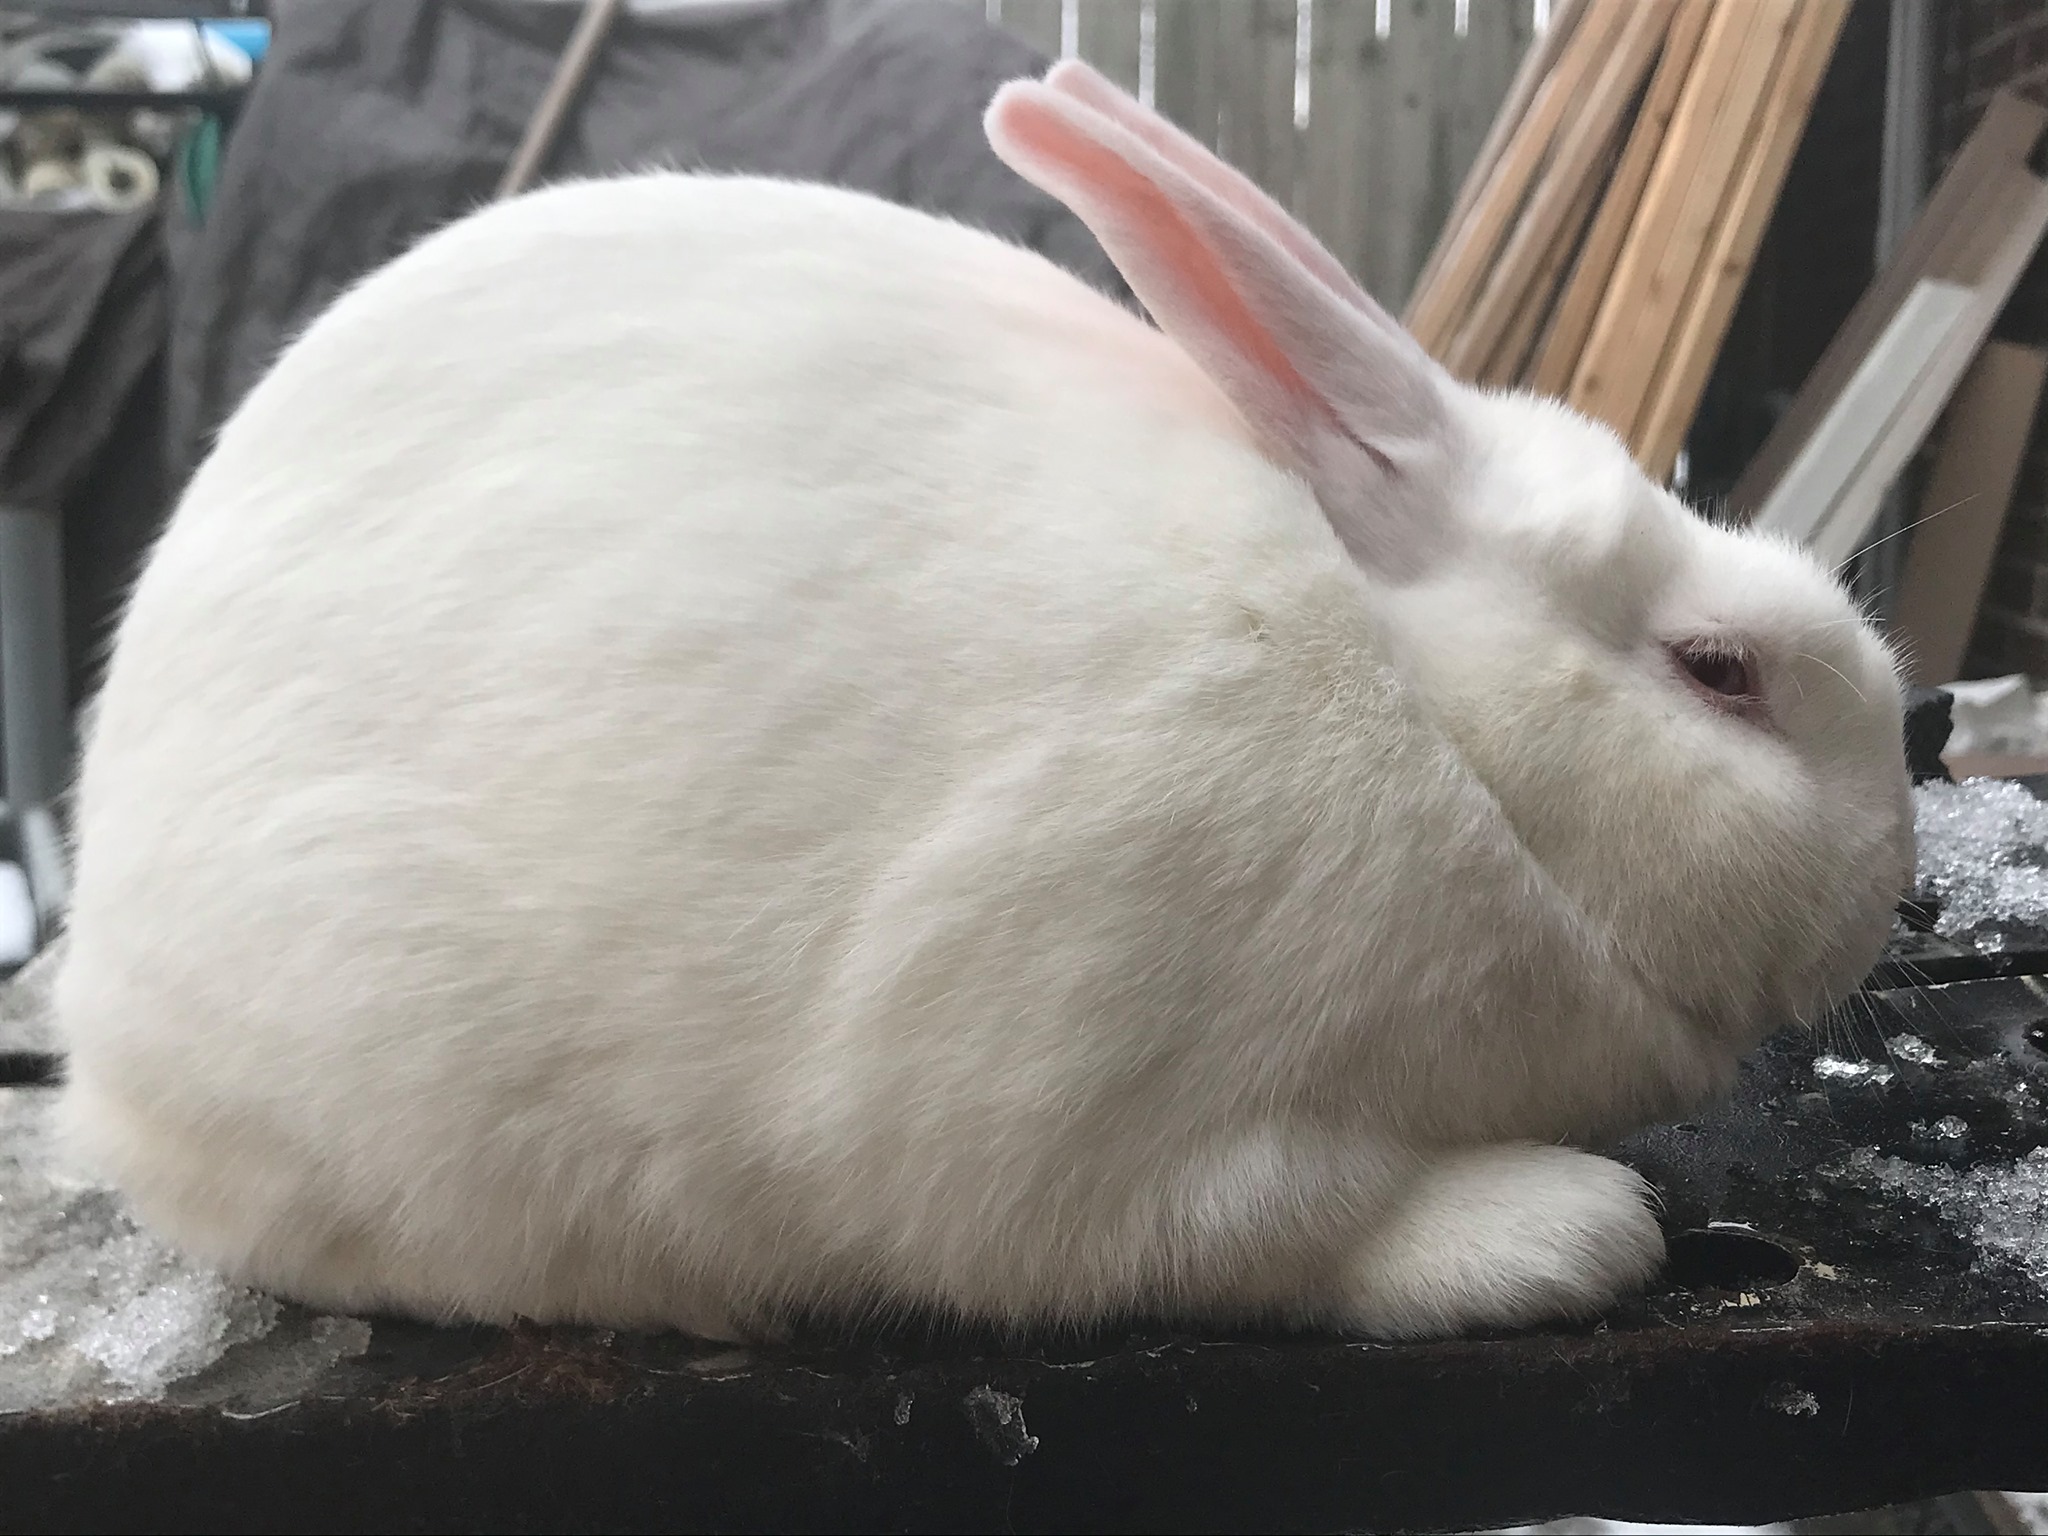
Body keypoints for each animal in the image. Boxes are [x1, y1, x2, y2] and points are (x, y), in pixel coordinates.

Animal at [52, 60, 1913, 1344]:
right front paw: (1562, 1227)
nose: (1891, 871)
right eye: (1720, 673)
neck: (1447, 738)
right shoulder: (1084, 1088)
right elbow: (1267, 1225)